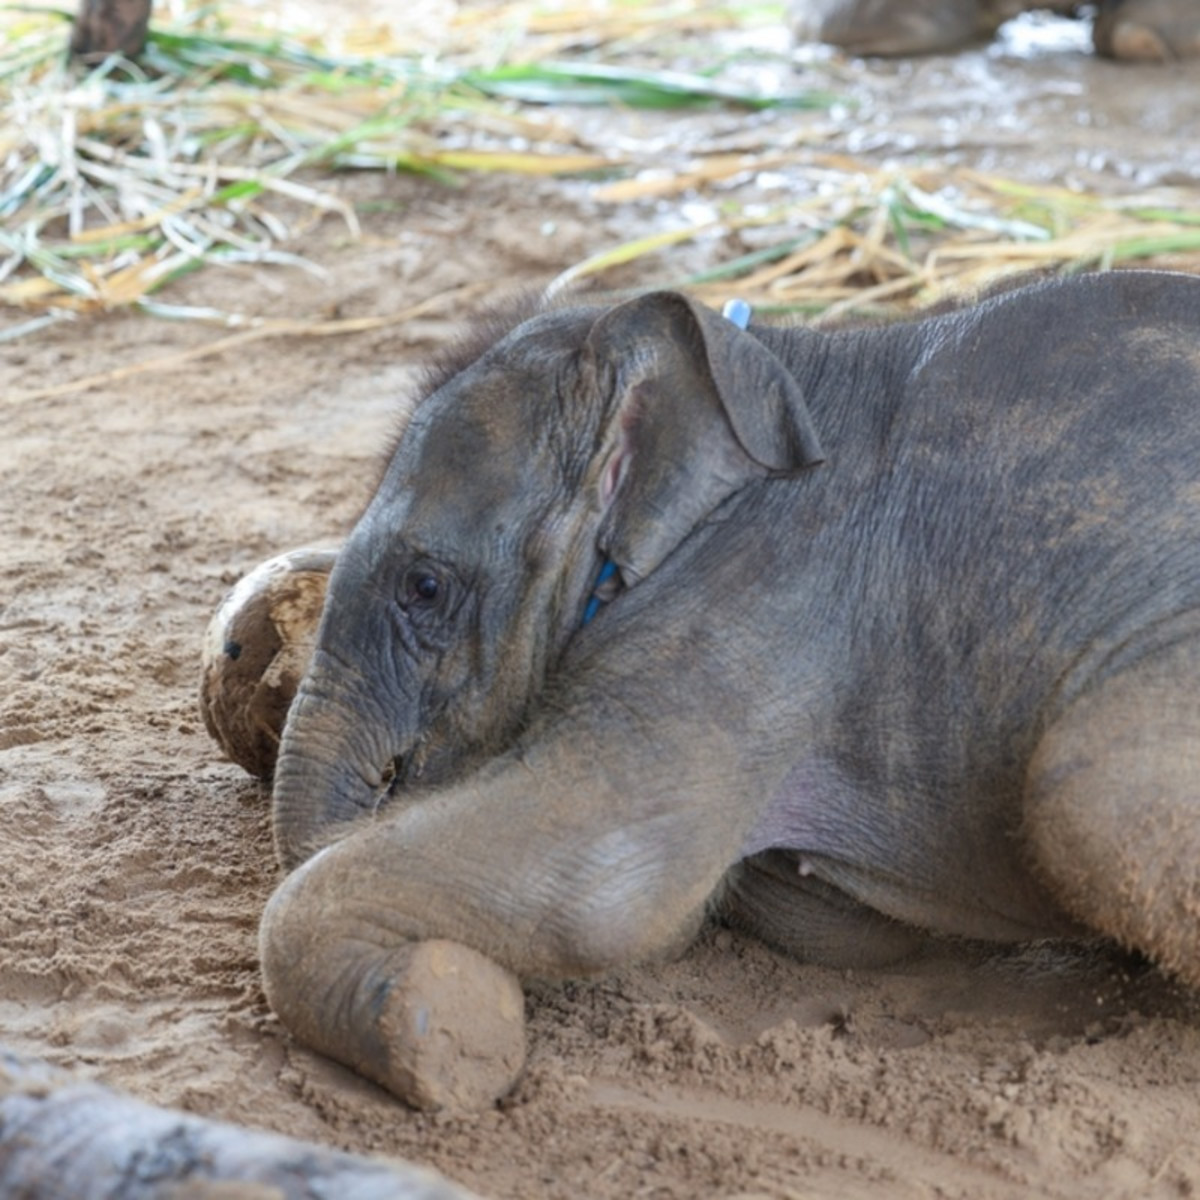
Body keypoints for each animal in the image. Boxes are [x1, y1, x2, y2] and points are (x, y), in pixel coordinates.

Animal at [205, 270, 1200, 1110]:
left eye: (424, 587)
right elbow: (835, 924)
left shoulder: (764, 610)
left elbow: (599, 887)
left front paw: (448, 1021)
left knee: (1089, 799)